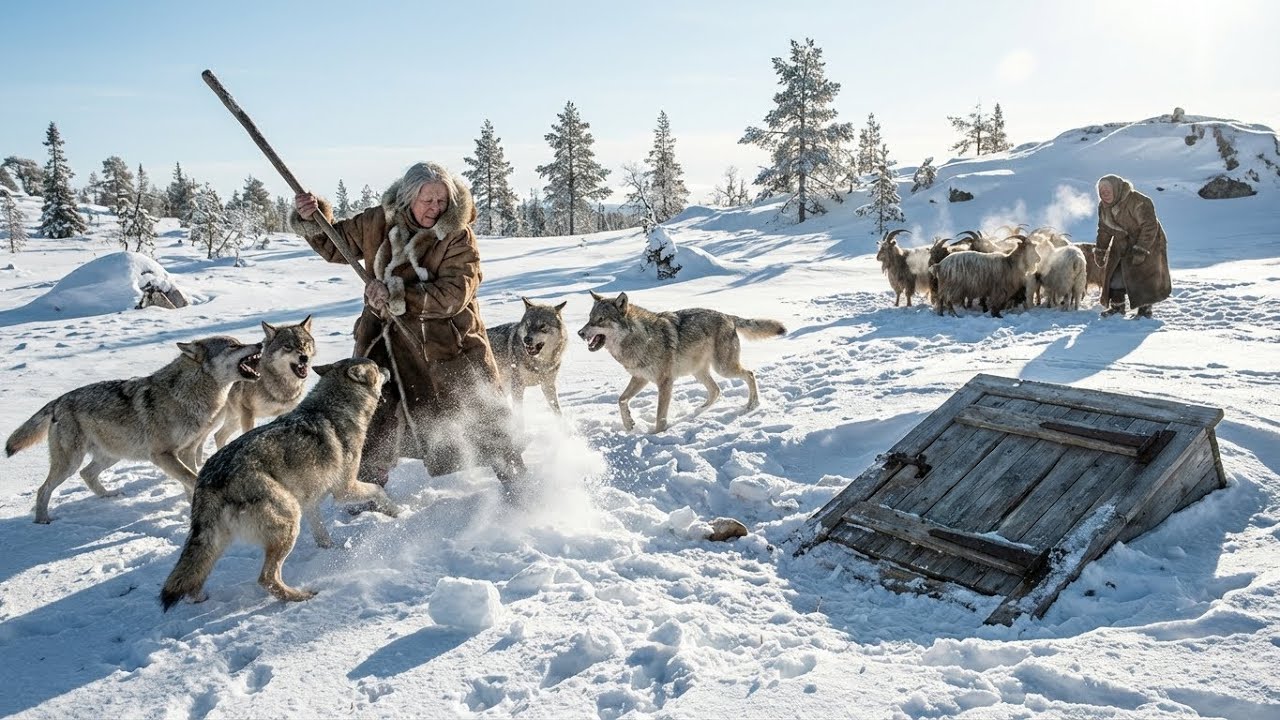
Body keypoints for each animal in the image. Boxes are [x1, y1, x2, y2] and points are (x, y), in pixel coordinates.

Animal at [5, 337, 263, 523]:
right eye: (233, 345)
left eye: (239, 342)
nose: (260, 344)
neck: (189, 395)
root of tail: (58, 401)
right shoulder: (163, 455)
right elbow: (192, 477)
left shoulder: (187, 451)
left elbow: (190, 479)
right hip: (71, 462)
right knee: (44, 488)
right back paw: (42, 520)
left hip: (111, 456)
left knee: (87, 474)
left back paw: (108, 495)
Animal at [160, 357, 400, 609]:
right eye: (376, 367)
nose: (387, 368)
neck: (336, 407)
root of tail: (209, 479)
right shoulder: (345, 490)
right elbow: (379, 491)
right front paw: (400, 512)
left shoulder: (311, 503)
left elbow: (322, 535)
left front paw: (332, 550)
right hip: (289, 519)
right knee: (267, 578)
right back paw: (301, 596)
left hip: (218, 542)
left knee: (193, 579)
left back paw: (200, 599)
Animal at [199, 315, 315, 460]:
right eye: (287, 346)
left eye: (304, 344)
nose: (304, 357)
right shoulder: (248, 414)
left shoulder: (286, 412)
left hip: (234, 418)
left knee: (218, 435)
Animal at [577, 291, 786, 433]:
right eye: (589, 319)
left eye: (601, 320)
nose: (579, 333)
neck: (640, 339)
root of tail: (728, 317)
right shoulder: (640, 378)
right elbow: (621, 400)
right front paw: (629, 425)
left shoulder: (665, 382)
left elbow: (660, 416)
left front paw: (656, 435)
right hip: (699, 372)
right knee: (716, 390)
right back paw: (697, 412)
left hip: (723, 368)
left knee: (749, 374)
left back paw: (752, 405)